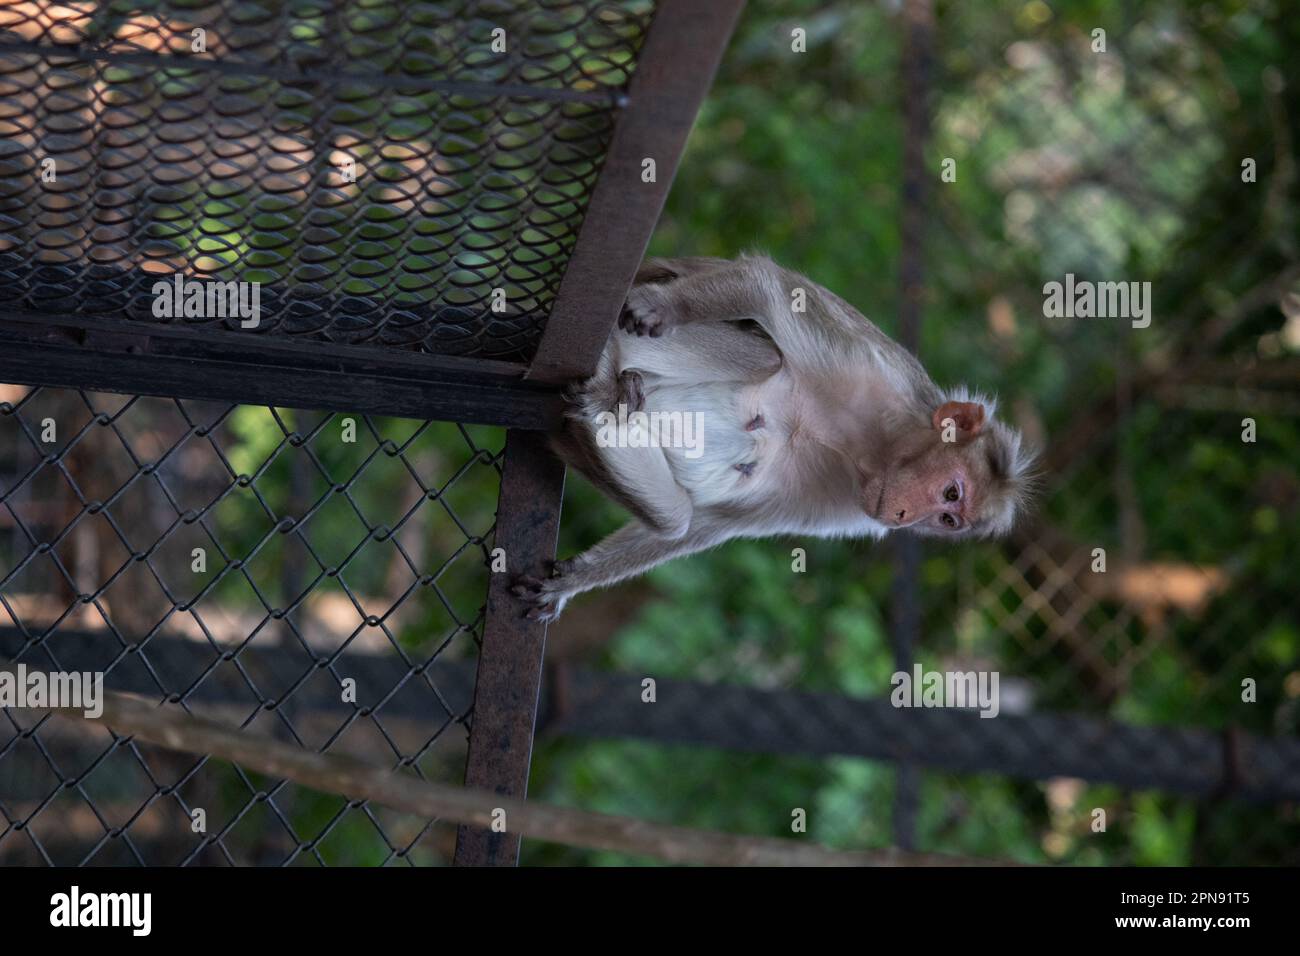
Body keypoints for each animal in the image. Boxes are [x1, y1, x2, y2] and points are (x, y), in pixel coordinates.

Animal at [513, 254, 1037, 621]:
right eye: (951, 492)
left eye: (950, 519)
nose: (908, 518)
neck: (872, 448)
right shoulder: (874, 373)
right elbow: (765, 286)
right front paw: (666, 305)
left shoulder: (847, 506)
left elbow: (707, 524)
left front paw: (571, 583)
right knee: (764, 357)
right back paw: (607, 369)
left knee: (675, 515)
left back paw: (595, 423)